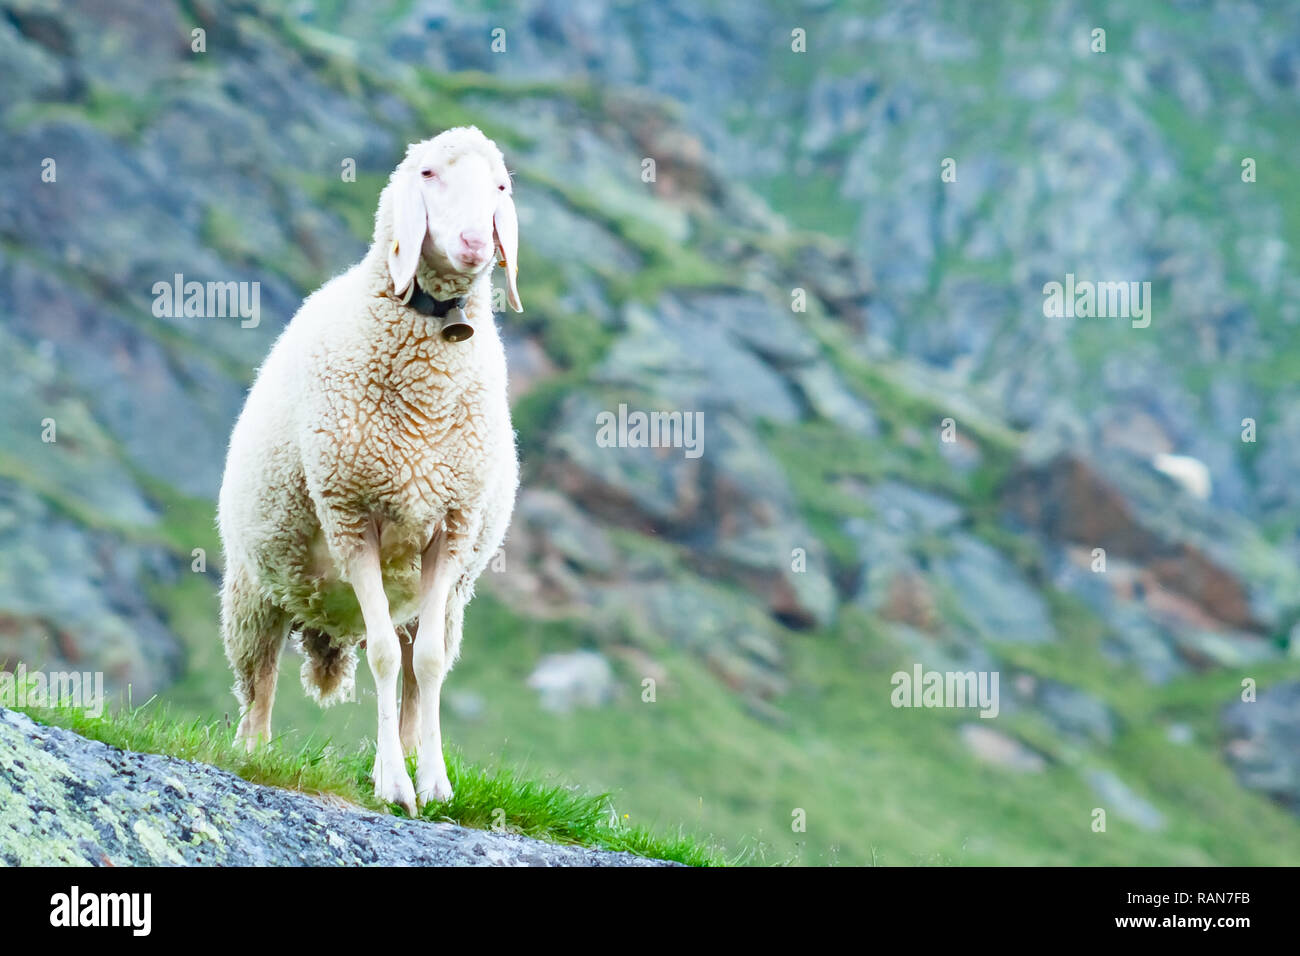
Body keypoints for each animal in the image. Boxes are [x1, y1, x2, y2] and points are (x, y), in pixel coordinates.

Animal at [217, 126, 523, 814]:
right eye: (429, 173)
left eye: (499, 186)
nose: (474, 244)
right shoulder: (352, 514)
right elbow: (381, 655)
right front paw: (391, 784)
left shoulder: (452, 525)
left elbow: (426, 665)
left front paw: (430, 781)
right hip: (254, 587)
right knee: (259, 682)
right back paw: (253, 753)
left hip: (441, 599)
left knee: (414, 672)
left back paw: (409, 750)